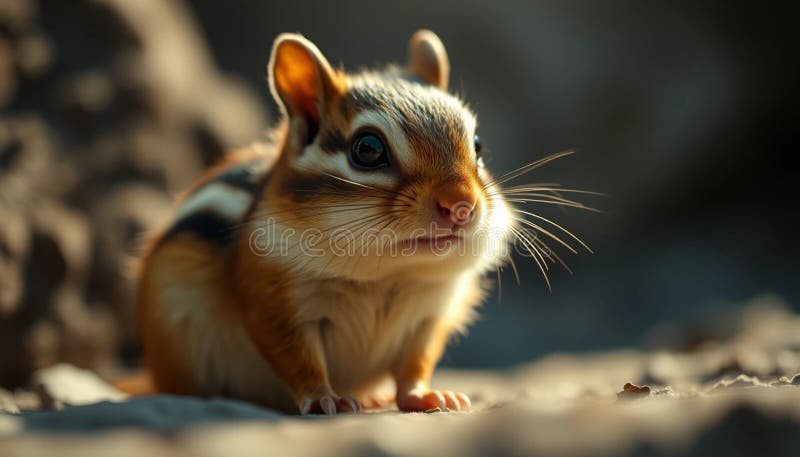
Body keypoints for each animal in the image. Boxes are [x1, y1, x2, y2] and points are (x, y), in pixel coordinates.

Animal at [135, 30, 576, 415]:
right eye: (367, 149)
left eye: (479, 146)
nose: (462, 206)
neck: (388, 275)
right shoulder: (273, 302)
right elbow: (298, 359)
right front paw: (321, 398)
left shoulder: (431, 314)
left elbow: (416, 363)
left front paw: (430, 396)